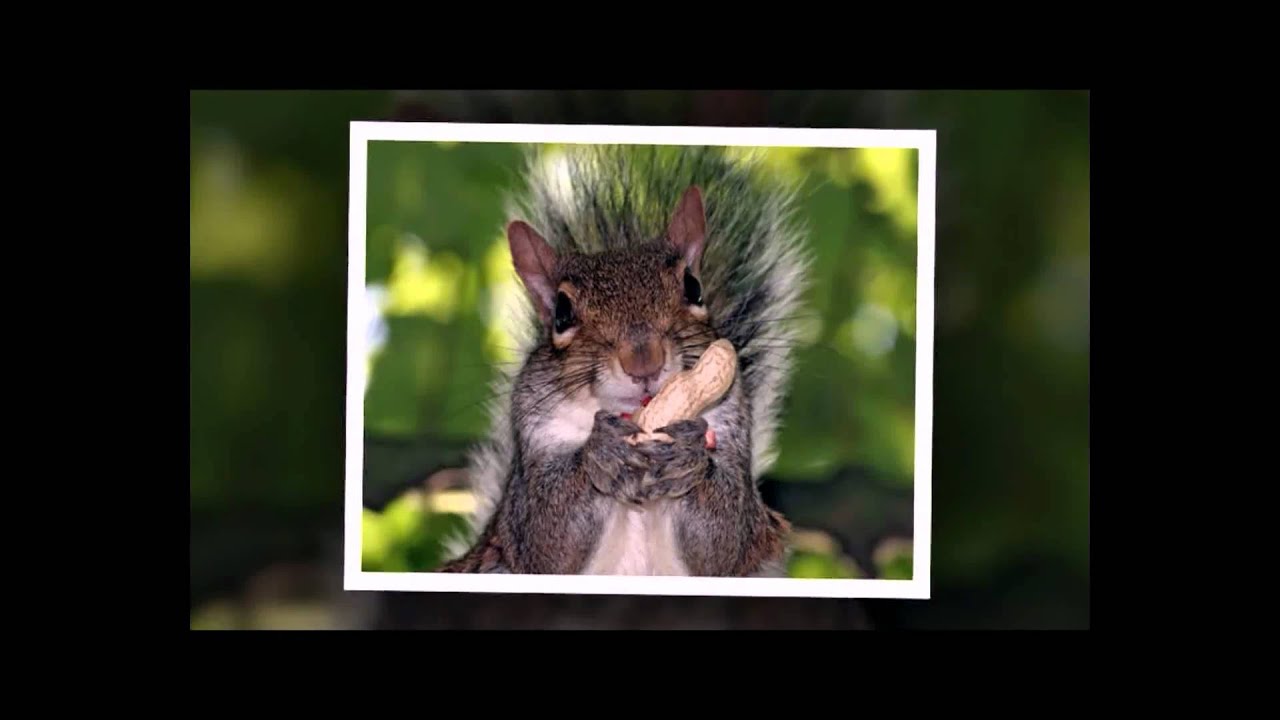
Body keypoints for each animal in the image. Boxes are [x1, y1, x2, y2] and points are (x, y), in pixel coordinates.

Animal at [436, 144, 812, 577]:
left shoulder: (731, 429)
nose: (643, 361)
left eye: (693, 288)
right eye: (562, 313)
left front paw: (690, 454)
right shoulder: (530, 470)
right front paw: (601, 452)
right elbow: (548, 535)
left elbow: (724, 539)